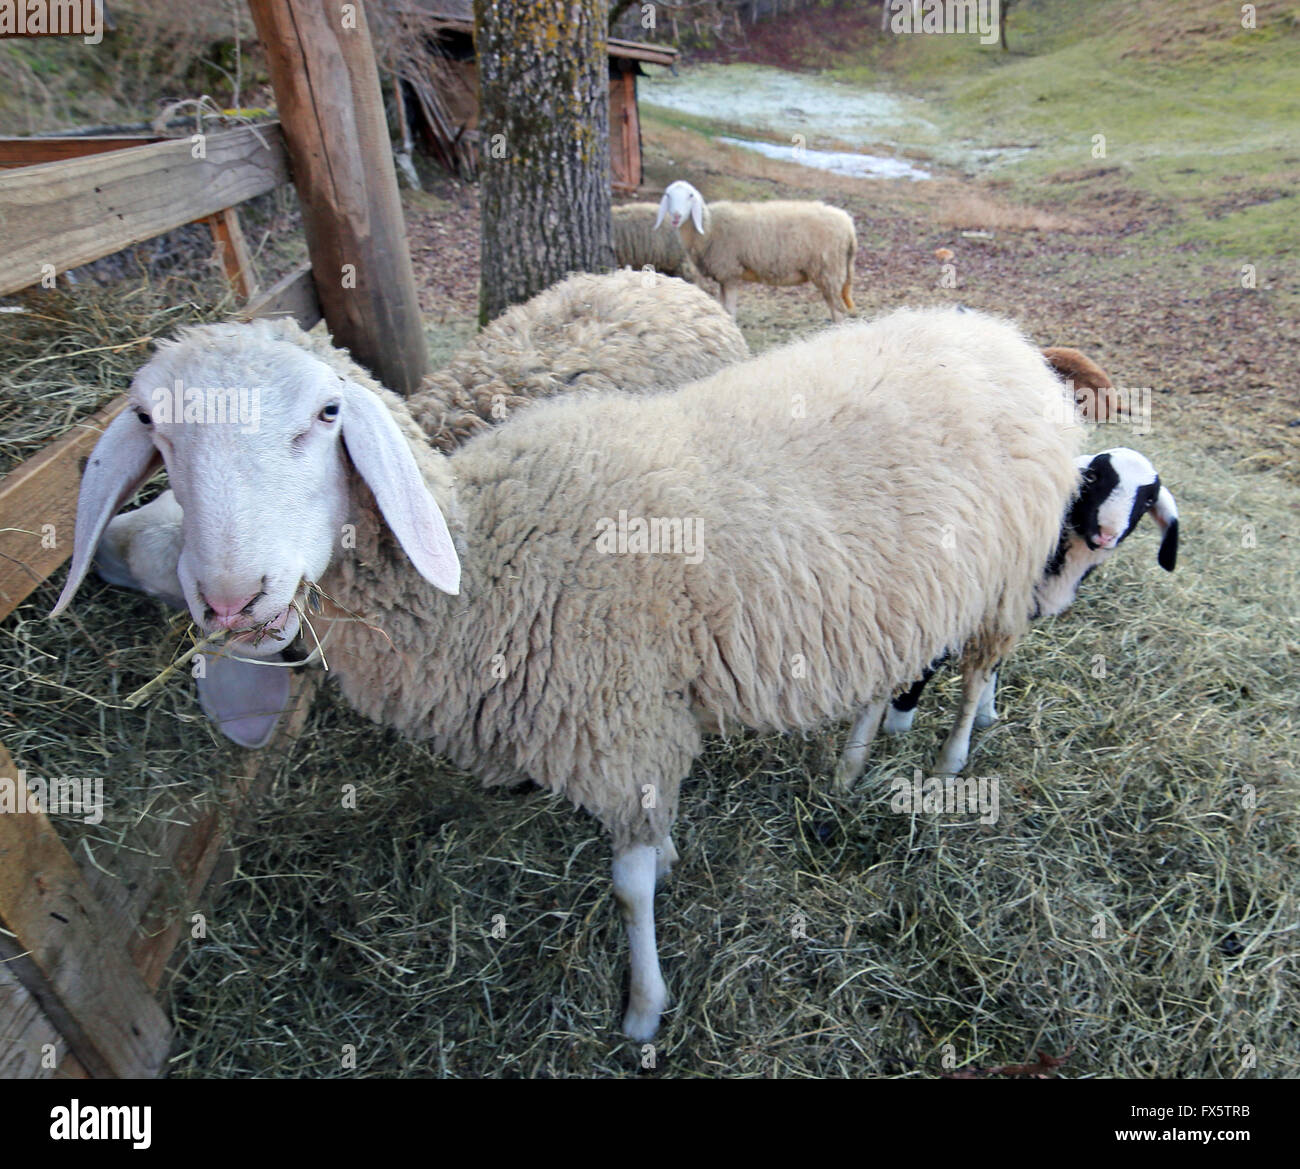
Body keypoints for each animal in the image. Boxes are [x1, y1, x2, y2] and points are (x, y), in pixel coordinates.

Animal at [53, 305, 1081, 1041]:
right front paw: (670, 870)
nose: (233, 598)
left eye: (327, 413)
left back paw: (954, 756)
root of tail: (1005, 337)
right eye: (150, 424)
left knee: (982, 666)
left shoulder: (620, 725)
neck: (488, 555)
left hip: (1002, 573)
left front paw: (643, 1009)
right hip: (906, 596)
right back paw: (858, 759)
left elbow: (629, 887)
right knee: (903, 671)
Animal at [654, 180, 857, 322]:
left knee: (839, 312)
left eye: (690, 195)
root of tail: (848, 225)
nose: (676, 216)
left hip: (829, 270)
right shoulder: (723, 275)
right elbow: (723, 307)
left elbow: (730, 310)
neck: (709, 227)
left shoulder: (730, 272)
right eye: (668, 195)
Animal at [882, 447, 1180, 736]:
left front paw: (984, 715)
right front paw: (897, 730)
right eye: (1093, 478)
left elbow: (991, 665)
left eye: (1149, 500)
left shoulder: (1007, 615)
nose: (1107, 533)